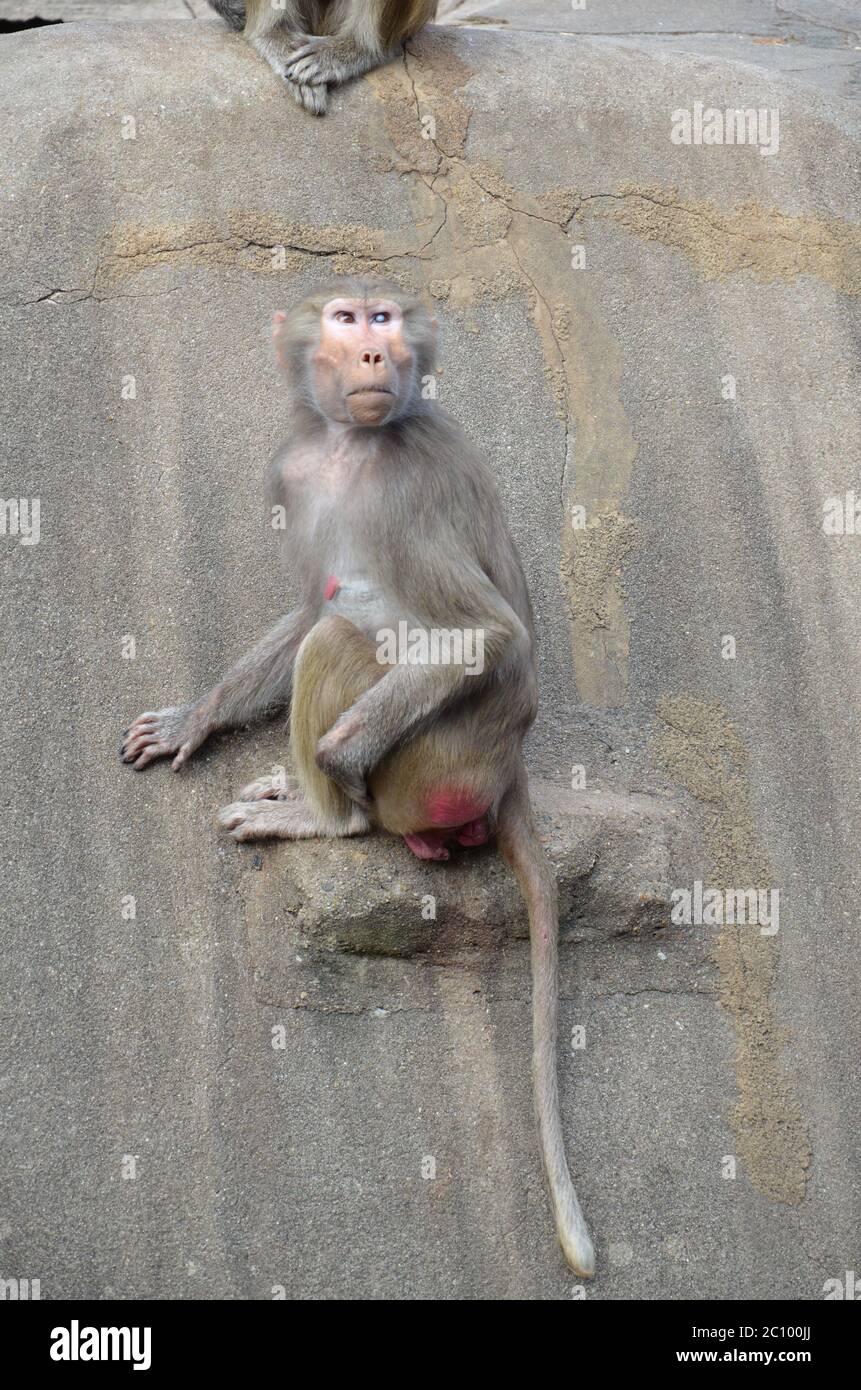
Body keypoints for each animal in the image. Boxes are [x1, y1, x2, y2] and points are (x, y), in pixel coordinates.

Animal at [120, 279, 596, 1278]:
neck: (348, 446)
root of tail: (510, 770)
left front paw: (334, 770)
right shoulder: (292, 475)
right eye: (346, 319)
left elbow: (482, 634)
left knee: (343, 639)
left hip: (431, 766)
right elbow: (306, 600)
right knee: (328, 619)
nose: (377, 354)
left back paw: (325, 812)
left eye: (385, 318)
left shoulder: (403, 491)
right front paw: (195, 719)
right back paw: (290, 786)